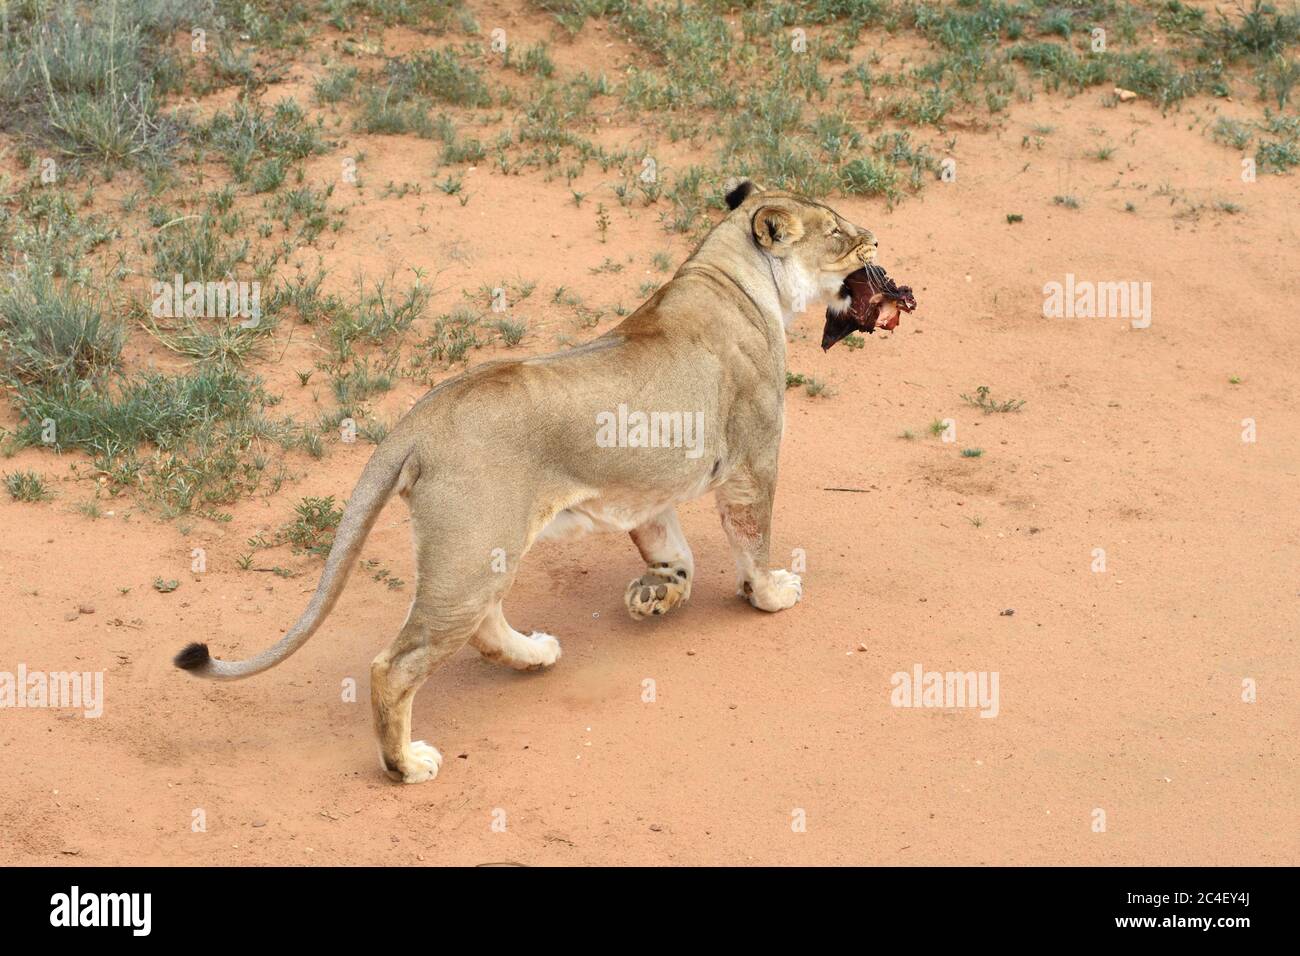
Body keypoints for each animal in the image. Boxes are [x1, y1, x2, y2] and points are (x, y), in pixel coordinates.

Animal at [174, 179, 879, 783]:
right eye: (837, 232)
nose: (876, 239)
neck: (731, 274)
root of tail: (420, 418)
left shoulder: (649, 485)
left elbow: (671, 550)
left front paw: (657, 595)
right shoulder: (753, 459)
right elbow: (753, 539)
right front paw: (772, 592)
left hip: (481, 552)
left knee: (484, 631)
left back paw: (536, 654)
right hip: (469, 553)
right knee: (395, 665)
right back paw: (407, 765)